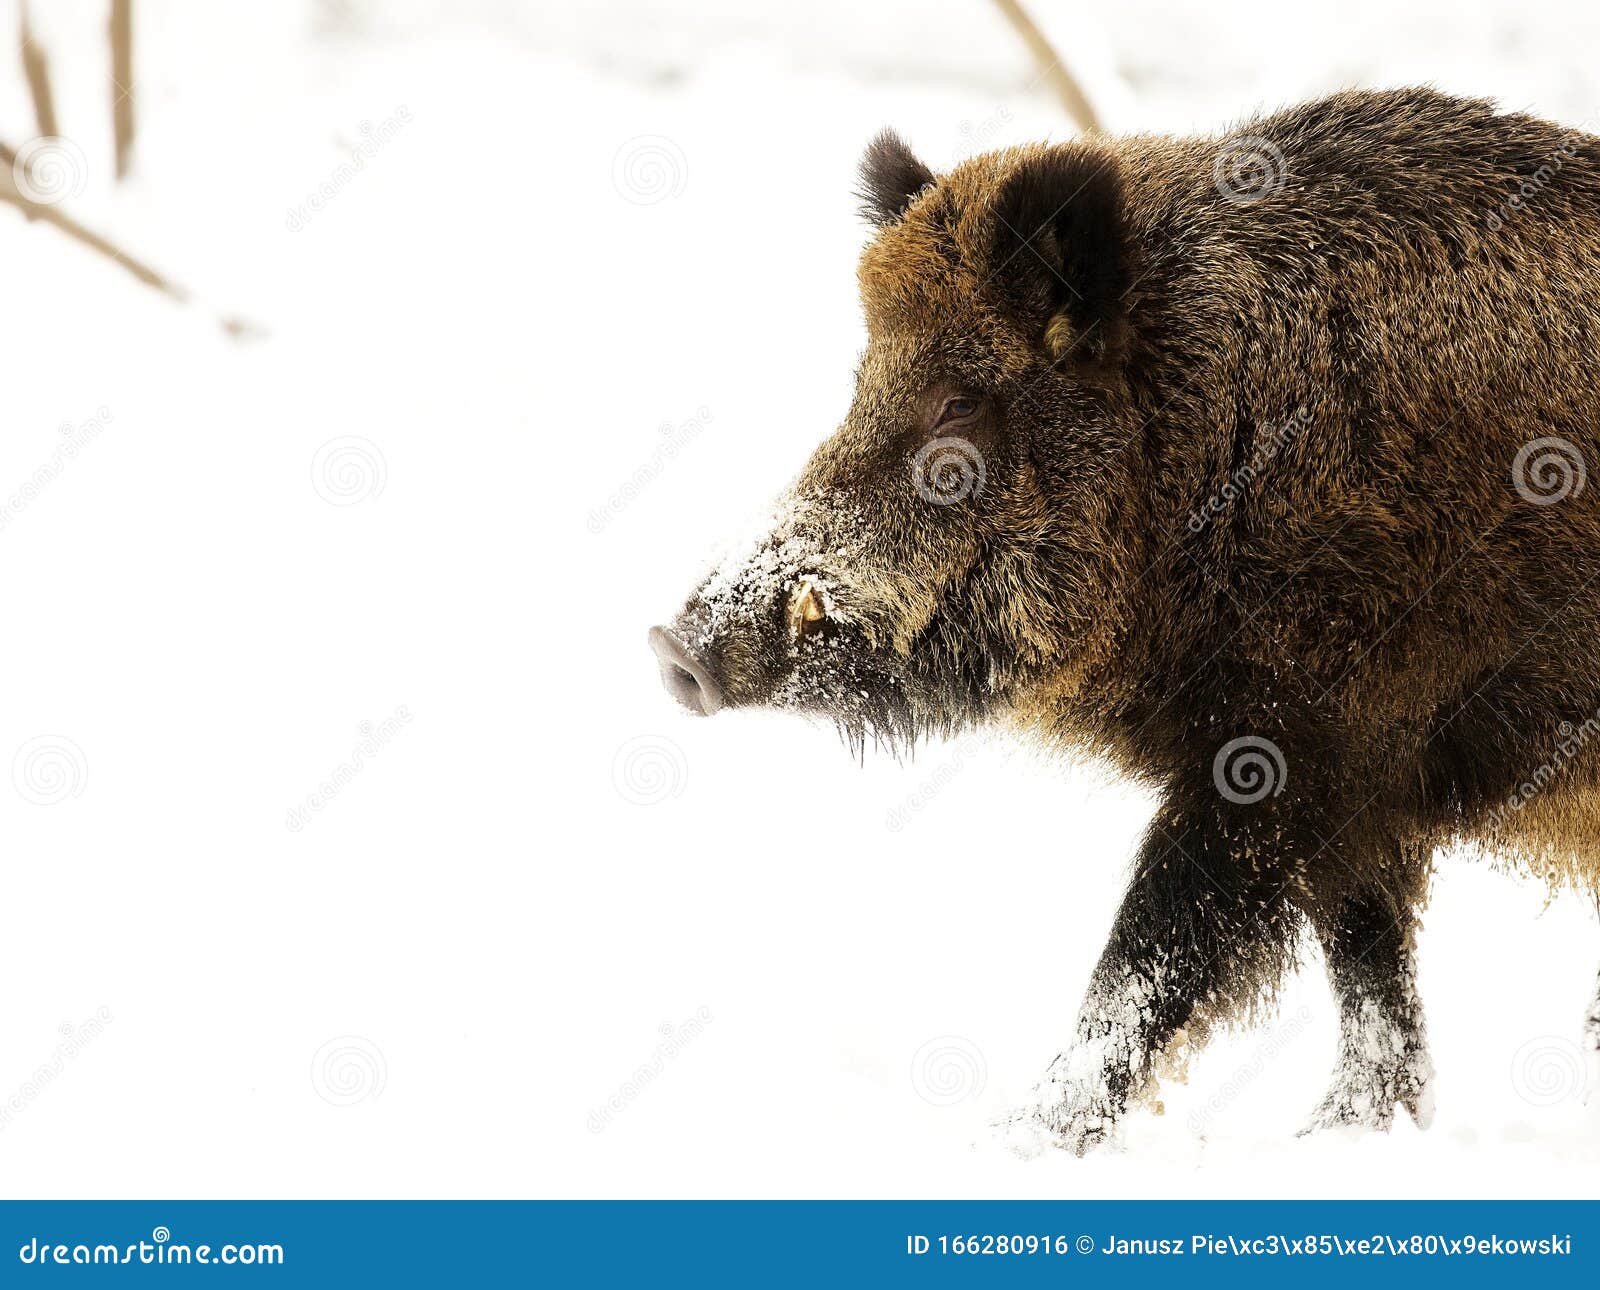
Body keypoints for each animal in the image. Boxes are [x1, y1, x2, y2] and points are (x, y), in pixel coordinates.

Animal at [649, 87, 1600, 1152]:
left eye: (956, 403)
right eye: (863, 384)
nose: (676, 649)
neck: (1208, 467)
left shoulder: (1284, 747)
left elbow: (1150, 964)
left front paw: (1021, 1145)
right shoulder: (1356, 786)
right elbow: (1365, 958)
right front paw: (1347, 1134)